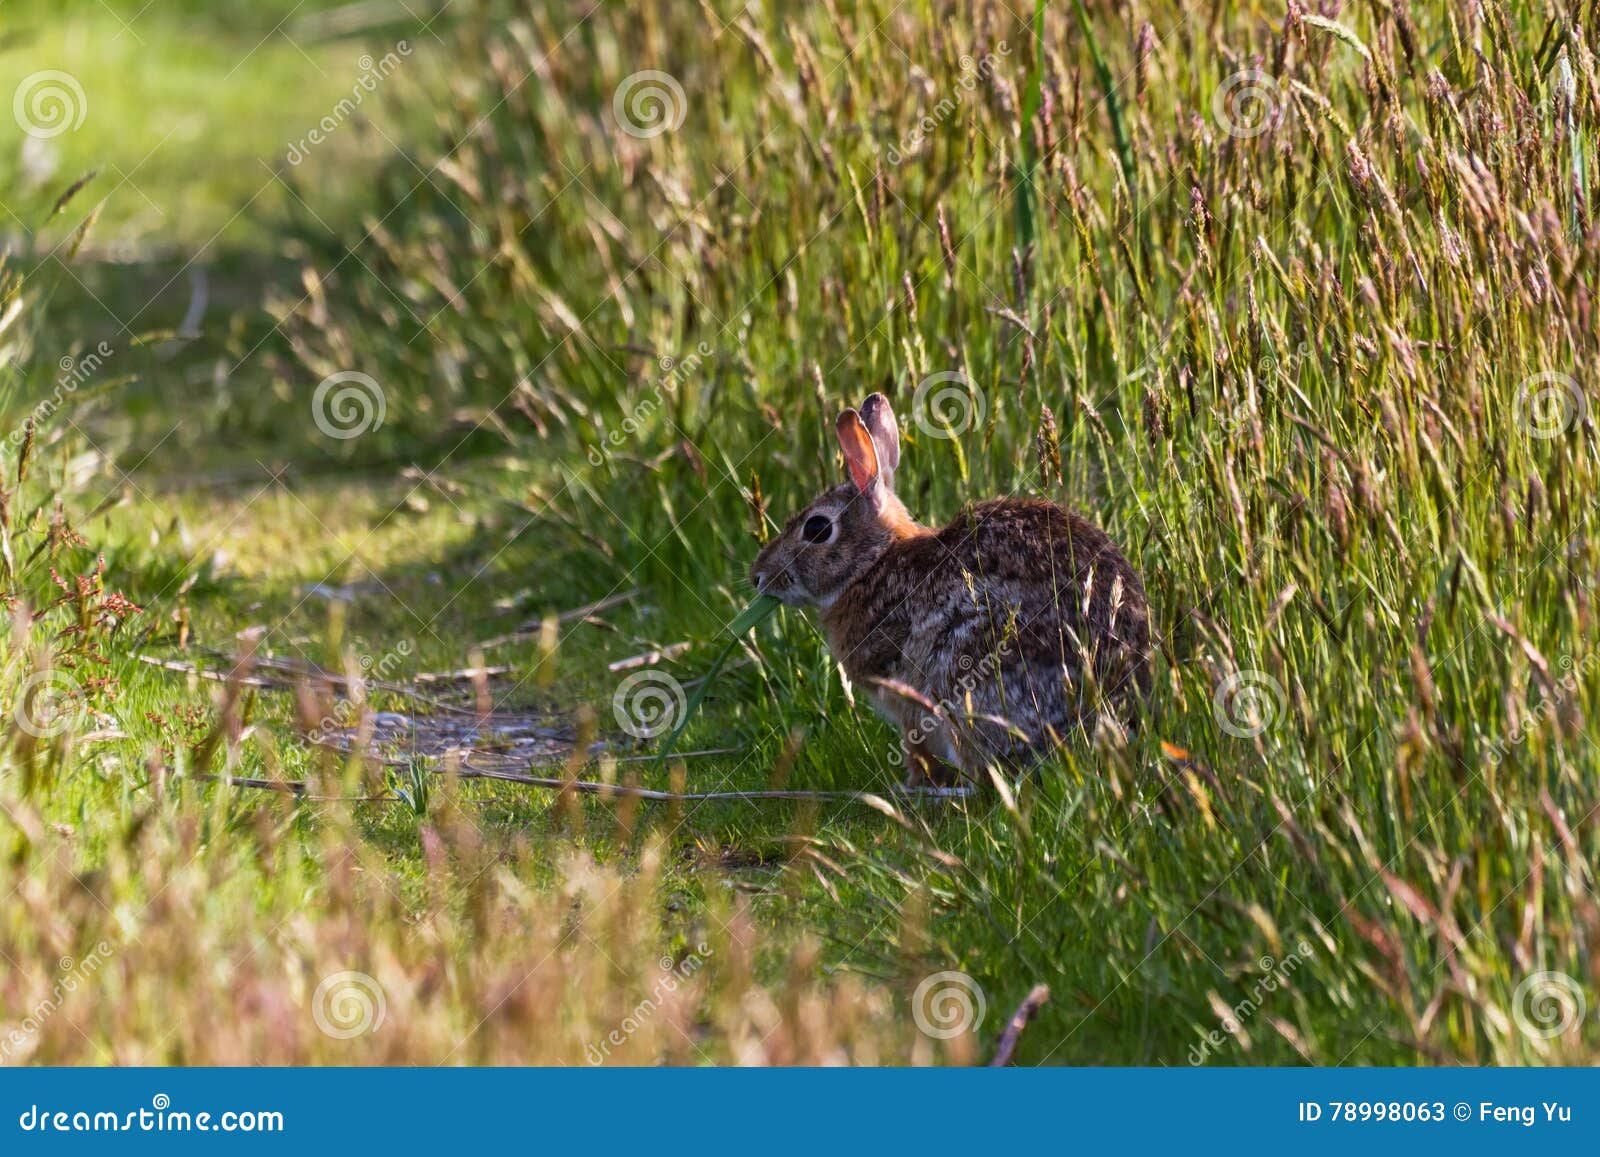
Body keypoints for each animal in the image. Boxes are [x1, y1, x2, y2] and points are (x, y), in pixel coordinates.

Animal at [750, 392, 1151, 785]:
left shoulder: (905, 693)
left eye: (817, 529)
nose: (758, 575)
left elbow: (916, 748)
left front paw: (913, 784)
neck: (873, 563)